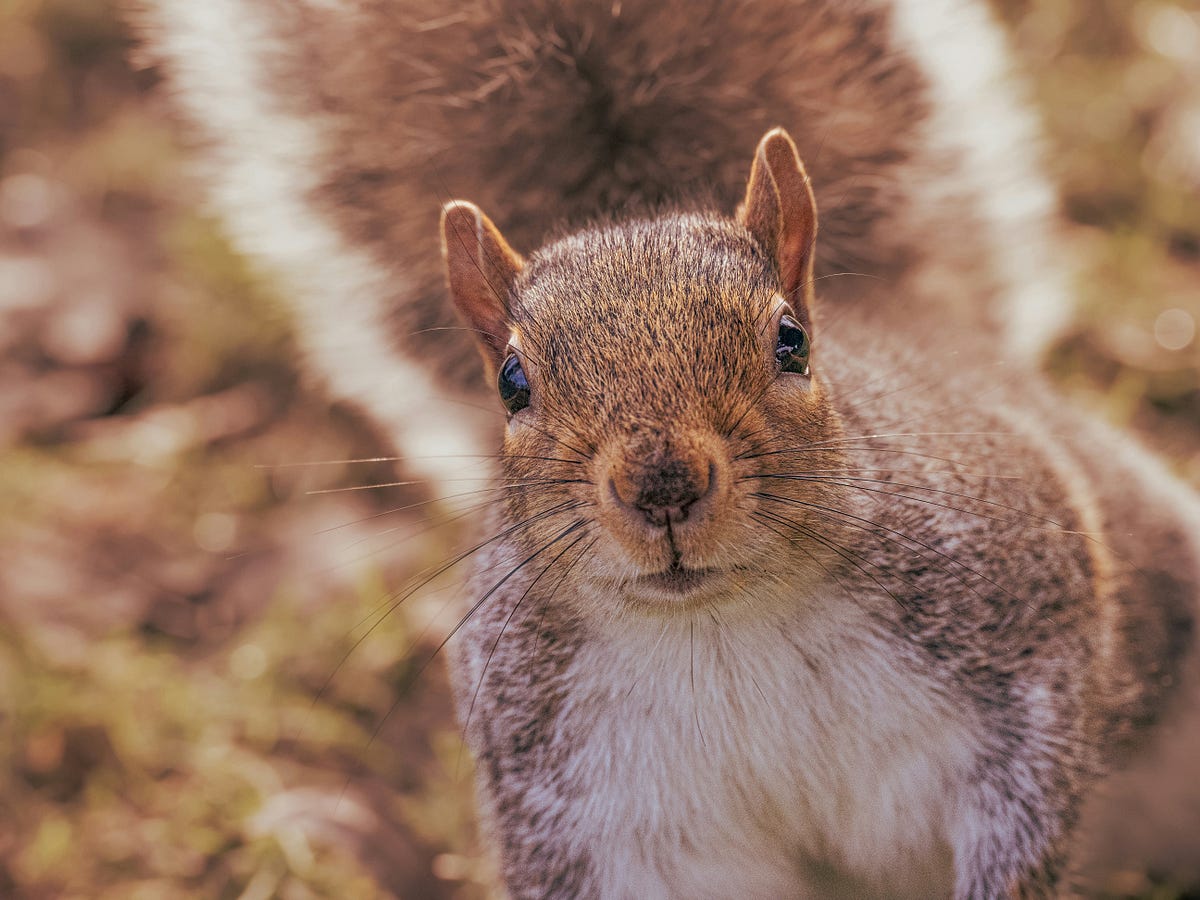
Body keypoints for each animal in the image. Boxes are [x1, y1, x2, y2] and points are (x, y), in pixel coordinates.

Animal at [131, 1, 1200, 897]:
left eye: (789, 342)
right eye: (512, 385)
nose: (662, 483)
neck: (723, 624)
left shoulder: (1024, 646)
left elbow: (1030, 807)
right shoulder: (590, 807)